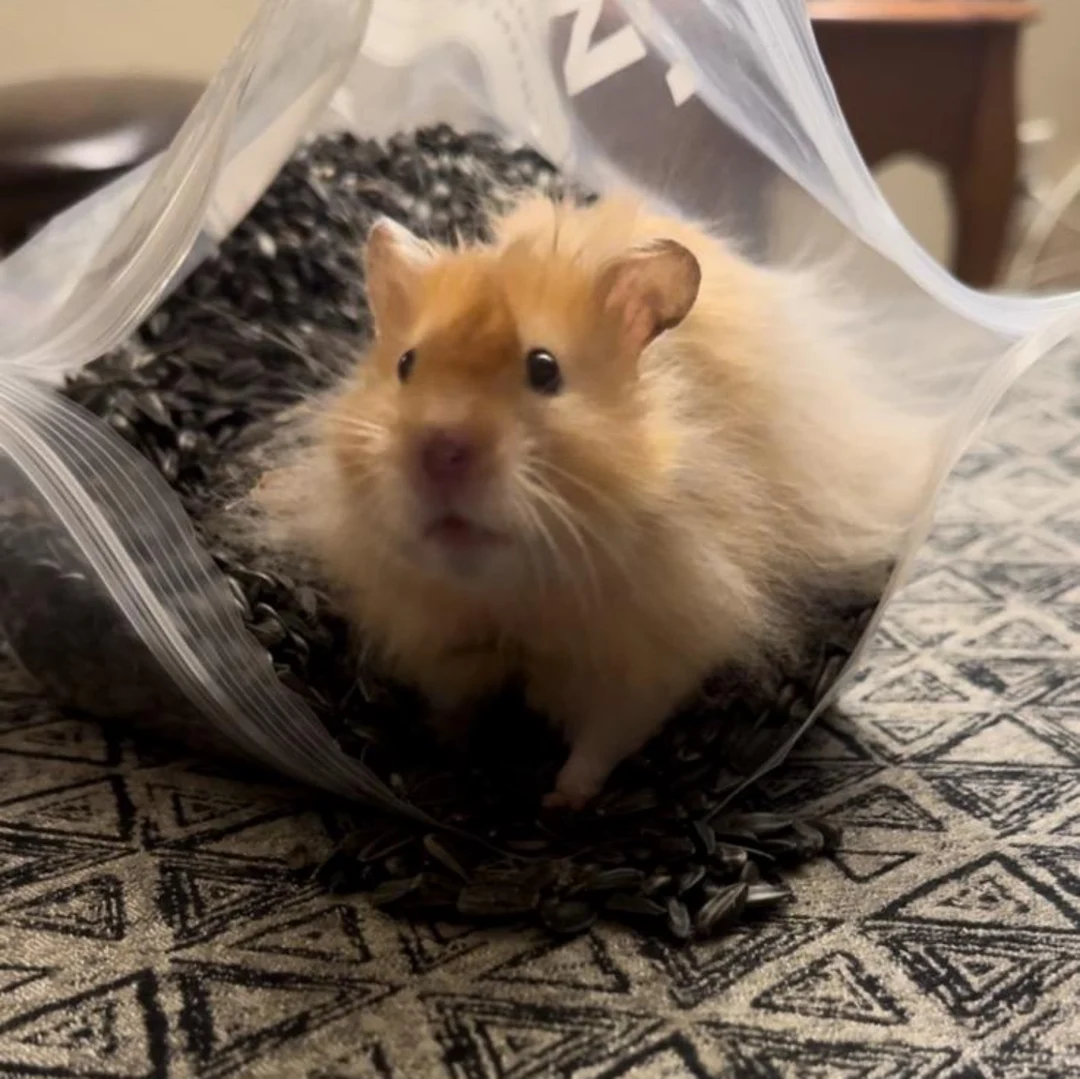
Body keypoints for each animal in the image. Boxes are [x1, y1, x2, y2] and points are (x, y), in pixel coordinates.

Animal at [258, 193, 936, 810]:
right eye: (405, 363)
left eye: (544, 369)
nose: (440, 451)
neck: (512, 591)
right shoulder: (437, 642)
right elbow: (453, 708)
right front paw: (445, 759)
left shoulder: (650, 656)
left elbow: (601, 742)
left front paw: (559, 803)